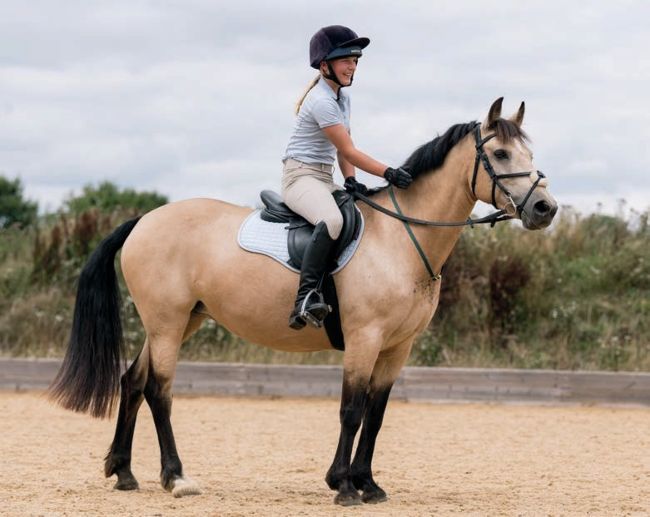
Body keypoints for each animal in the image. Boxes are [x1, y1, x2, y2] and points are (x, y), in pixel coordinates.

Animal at [49, 97, 558, 506]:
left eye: (530, 154)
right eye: (500, 153)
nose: (545, 209)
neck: (400, 237)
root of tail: (144, 220)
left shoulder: (398, 347)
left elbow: (376, 413)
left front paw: (369, 484)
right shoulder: (364, 338)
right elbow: (352, 409)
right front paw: (344, 486)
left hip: (177, 321)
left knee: (133, 381)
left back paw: (124, 472)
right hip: (168, 322)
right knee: (158, 389)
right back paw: (175, 477)